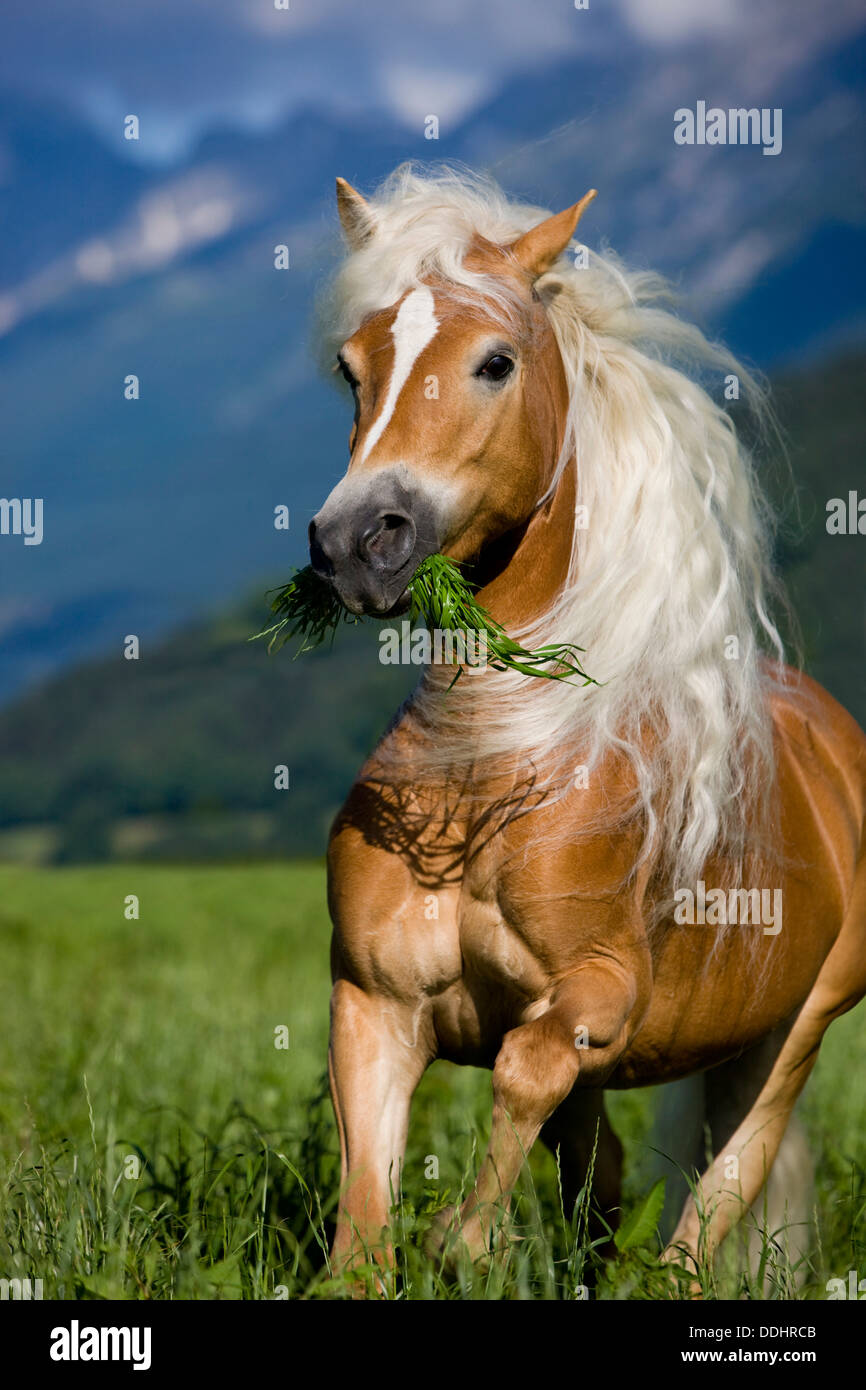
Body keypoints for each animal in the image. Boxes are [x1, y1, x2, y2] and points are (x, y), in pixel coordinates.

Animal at [306, 164, 866, 1283]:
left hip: (792, 1032)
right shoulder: (372, 1002)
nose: (355, 541)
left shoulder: (600, 995)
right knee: (600, 1167)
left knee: (715, 1197)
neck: (488, 771)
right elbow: (361, 1223)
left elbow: (525, 1067)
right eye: (353, 367)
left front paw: (465, 1238)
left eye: (493, 361)